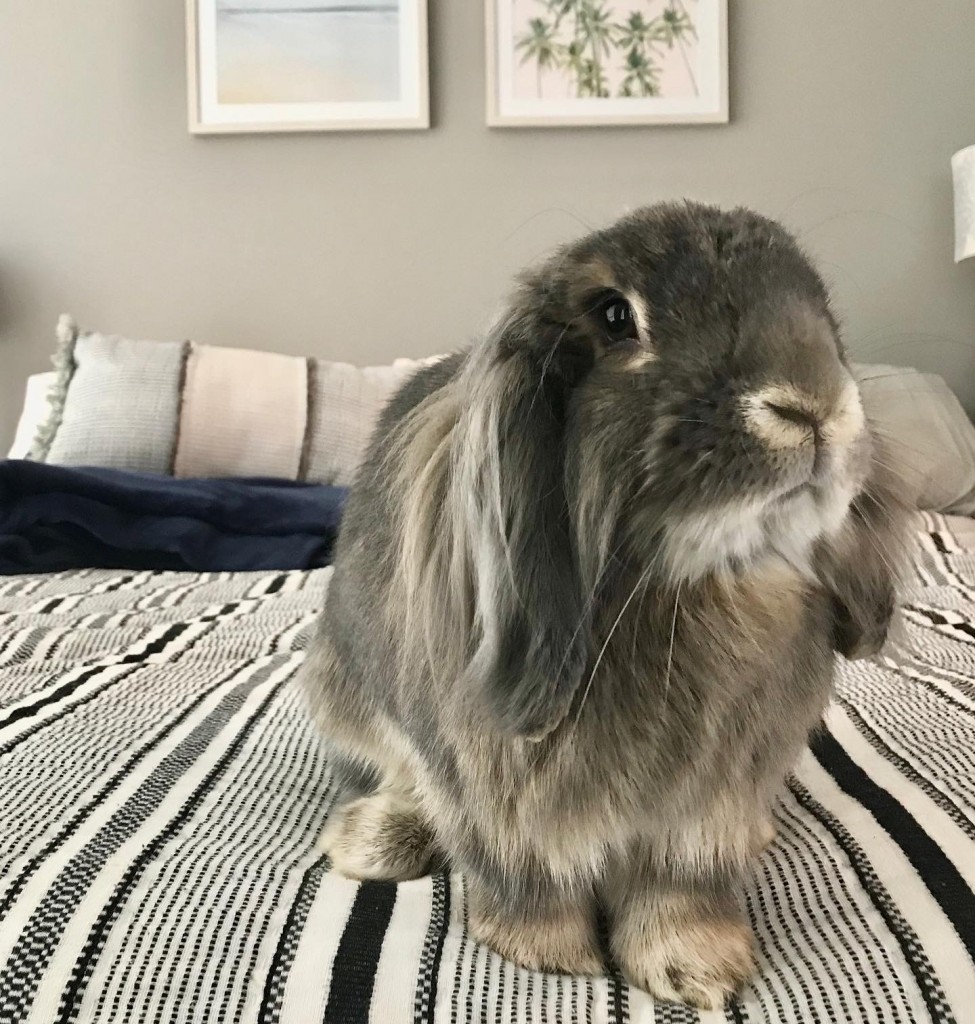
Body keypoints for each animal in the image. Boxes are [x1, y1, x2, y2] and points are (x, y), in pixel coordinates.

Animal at [299, 201, 909, 1009]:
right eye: (616, 316)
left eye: (821, 305)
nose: (811, 405)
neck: (691, 590)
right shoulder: (496, 798)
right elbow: (522, 875)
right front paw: (550, 956)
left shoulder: (708, 808)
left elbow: (681, 890)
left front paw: (697, 970)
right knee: (391, 778)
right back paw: (375, 842)